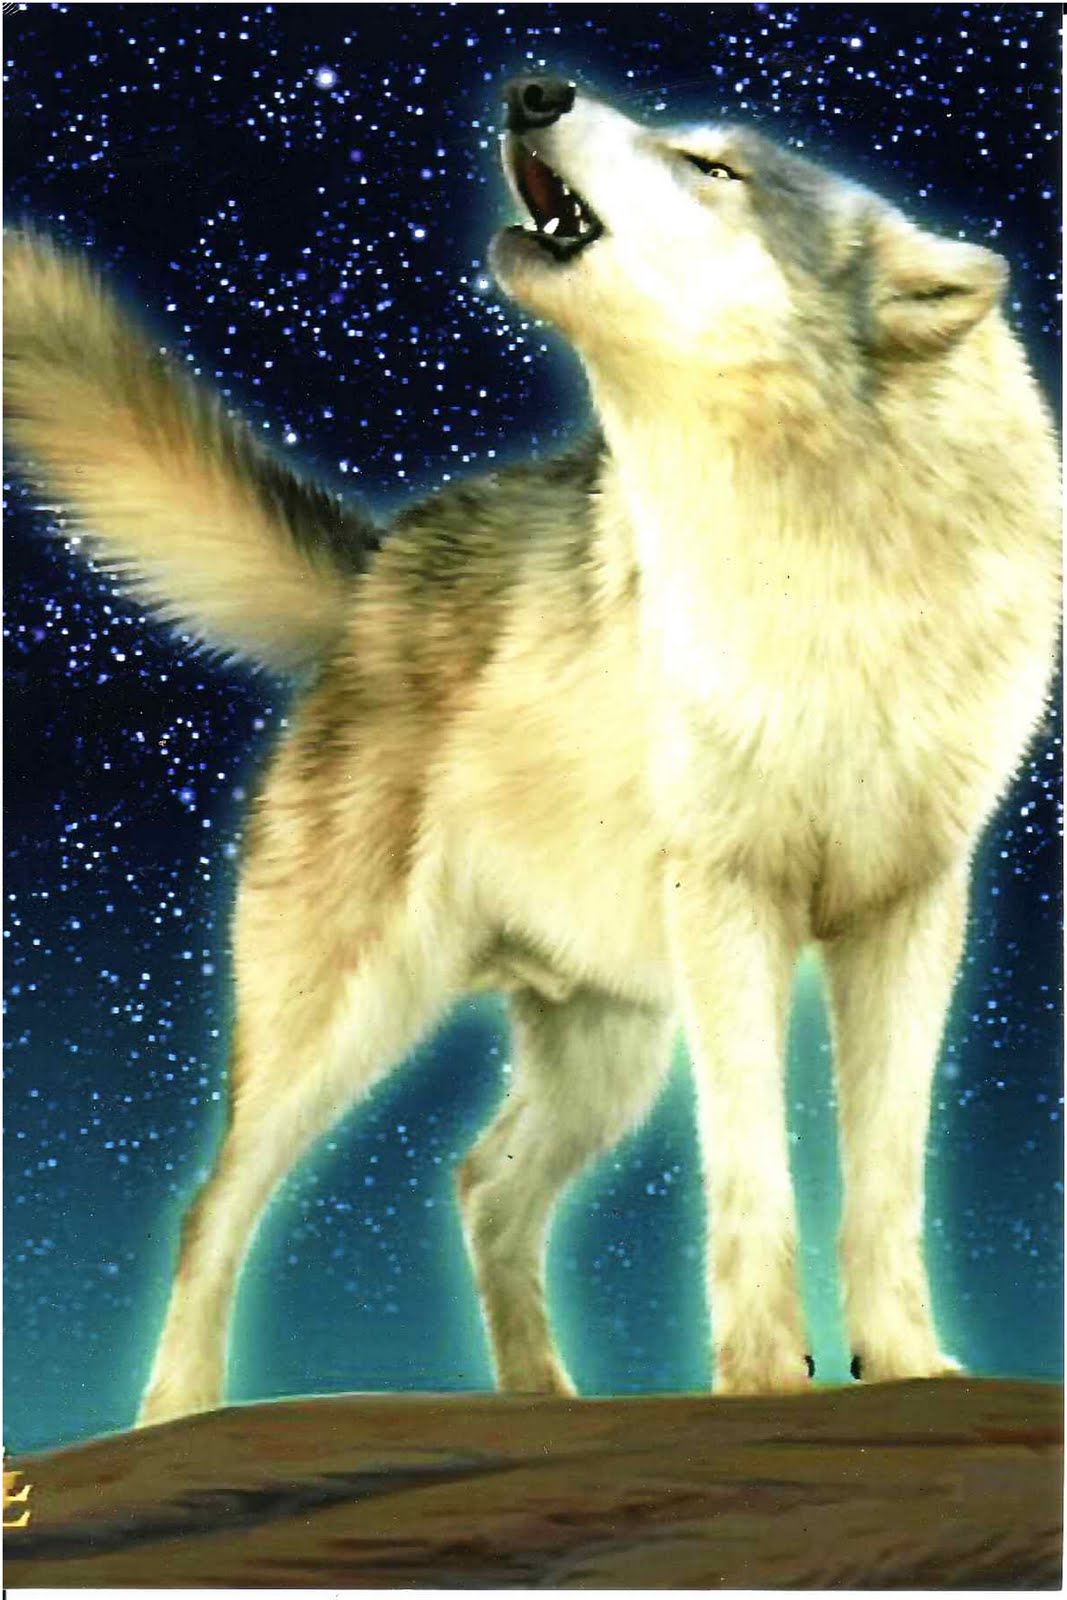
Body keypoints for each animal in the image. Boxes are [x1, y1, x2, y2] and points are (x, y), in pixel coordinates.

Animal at [5, 78, 1059, 1427]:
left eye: (711, 166)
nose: (534, 89)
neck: (833, 577)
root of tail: (377, 568)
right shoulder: (731, 904)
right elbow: (752, 1176)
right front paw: (762, 1384)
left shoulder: (911, 911)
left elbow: (884, 1180)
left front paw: (911, 1372)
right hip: (349, 1016)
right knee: (213, 1207)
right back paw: (179, 1419)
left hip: (607, 1048)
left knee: (479, 1182)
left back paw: (542, 1405)